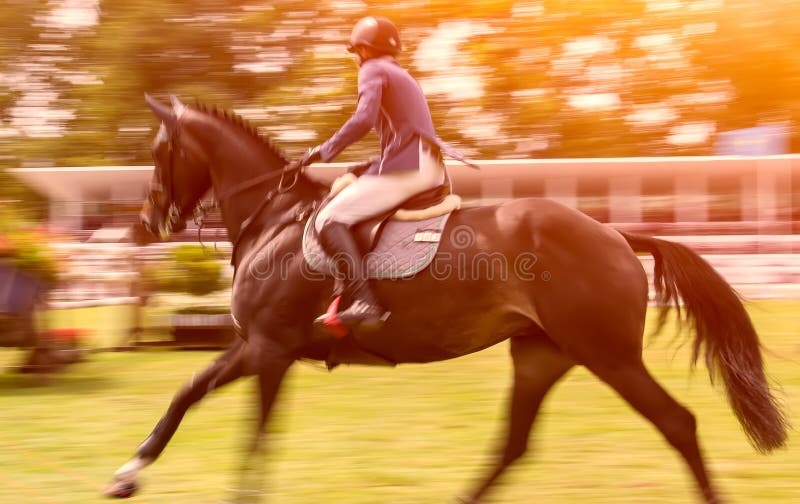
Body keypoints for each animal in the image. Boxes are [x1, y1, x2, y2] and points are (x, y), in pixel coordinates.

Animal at [107, 94, 788, 503]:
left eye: (160, 151)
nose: (149, 221)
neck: (273, 218)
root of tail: (617, 234)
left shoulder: (268, 350)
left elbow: (243, 430)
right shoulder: (258, 348)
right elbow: (193, 397)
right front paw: (127, 474)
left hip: (608, 356)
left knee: (677, 423)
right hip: (541, 355)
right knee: (514, 444)